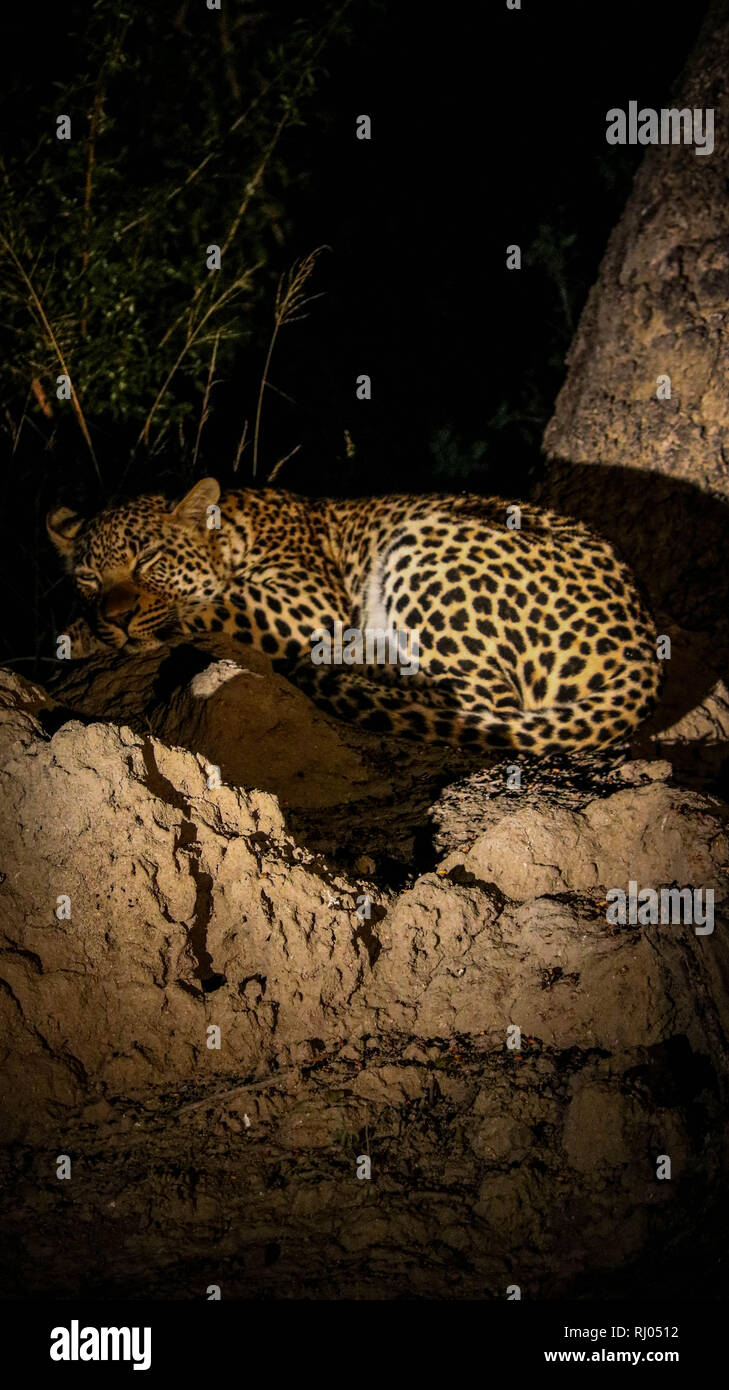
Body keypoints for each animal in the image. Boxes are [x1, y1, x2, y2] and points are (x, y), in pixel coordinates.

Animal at [46, 477, 662, 754]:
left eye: (149, 559)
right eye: (88, 579)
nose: (116, 618)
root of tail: (644, 651)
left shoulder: (305, 605)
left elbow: (208, 608)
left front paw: (85, 637)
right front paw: (86, 630)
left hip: (427, 540)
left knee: (485, 703)